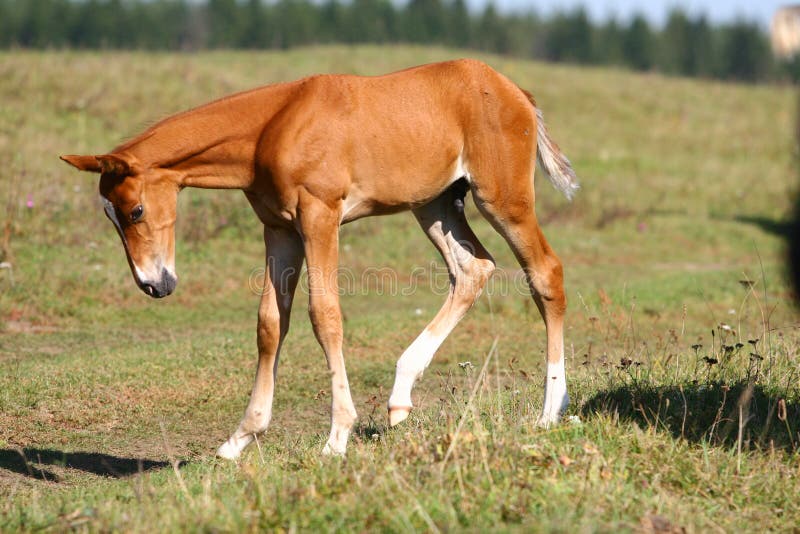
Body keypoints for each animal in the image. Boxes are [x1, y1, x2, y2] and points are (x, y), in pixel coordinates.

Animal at [61, 59, 579, 460]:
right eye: (110, 215)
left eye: (135, 210)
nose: (155, 284)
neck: (271, 128)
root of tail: (517, 93)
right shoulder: (279, 229)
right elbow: (271, 322)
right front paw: (240, 438)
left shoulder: (320, 217)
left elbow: (324, 315)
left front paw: (336, 437)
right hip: (434, 204)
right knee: (473, 268)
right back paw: (399, 398)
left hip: (502, 198)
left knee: (545, 273)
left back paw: (550, 412)